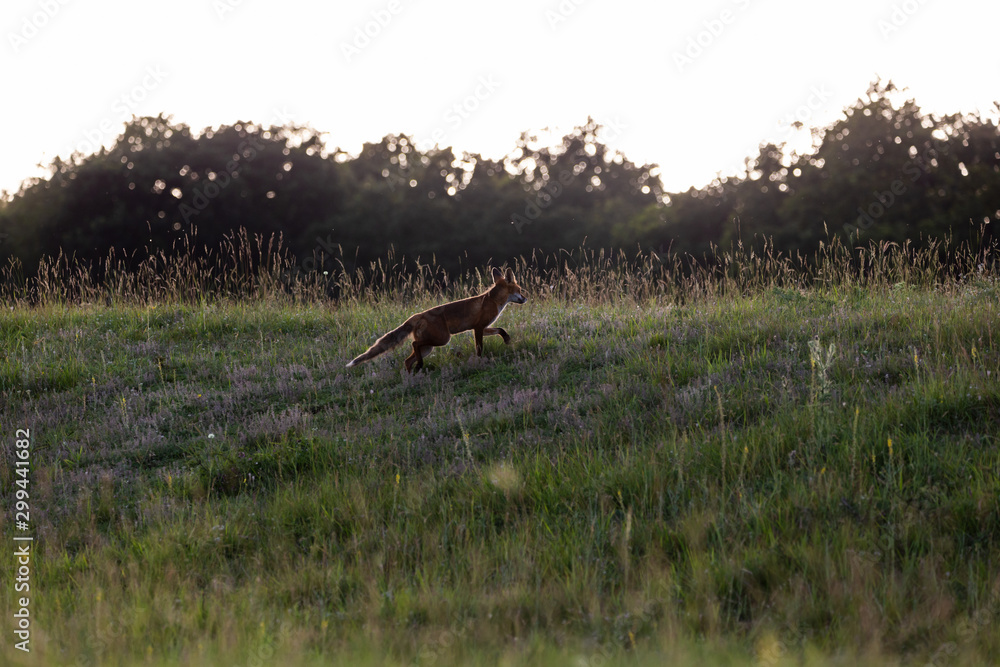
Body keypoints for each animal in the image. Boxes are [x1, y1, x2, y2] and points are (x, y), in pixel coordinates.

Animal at [346, 267, 527, 373]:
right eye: (520, 290)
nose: (526, 299)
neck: (493, 301)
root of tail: (416, 316)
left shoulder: (482, 327)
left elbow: (500, 330)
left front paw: (507, 339)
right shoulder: (478, 328)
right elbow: (479, 349)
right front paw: (480, 362)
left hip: (429, 347)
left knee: (407, 360)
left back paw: (412, 377)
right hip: (441, 339)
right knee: (414, 345)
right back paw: (418, 368)